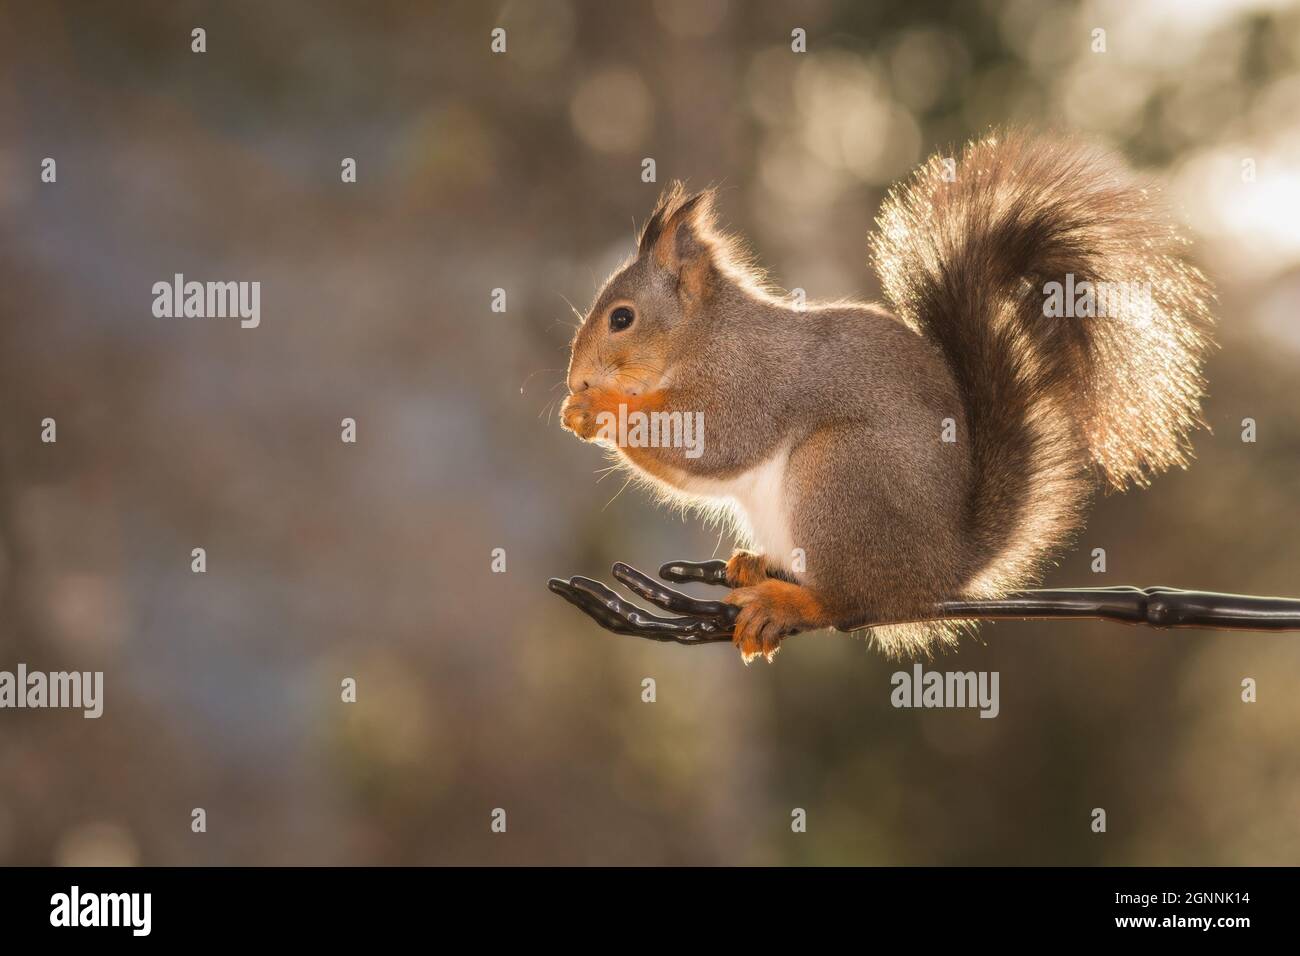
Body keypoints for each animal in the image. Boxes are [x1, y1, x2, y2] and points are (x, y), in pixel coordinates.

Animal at [559, 131, 1214, 663]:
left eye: (622, 318)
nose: (576, 381)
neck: (703, 337)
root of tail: (939, 574)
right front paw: (579, 408)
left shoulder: (751, 384)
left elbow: (709, 442)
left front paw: (598, 410)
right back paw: (758, 565)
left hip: (840, 473)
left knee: (850, 602)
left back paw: (790, 603)